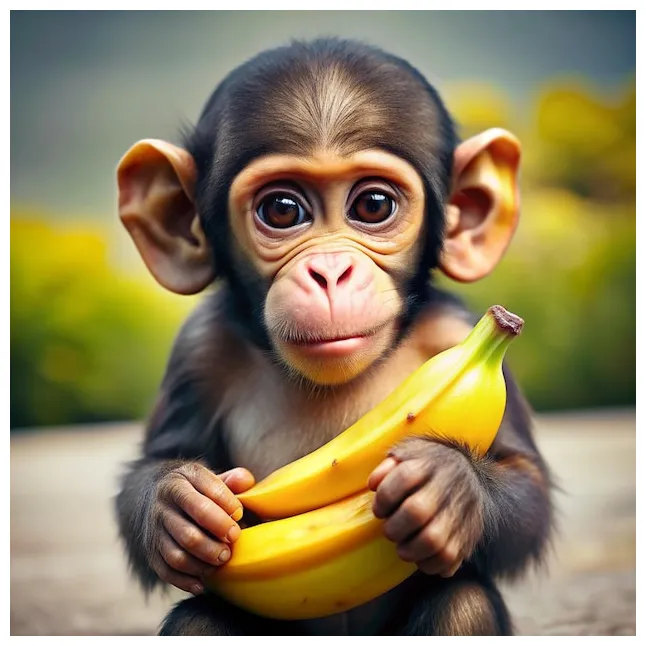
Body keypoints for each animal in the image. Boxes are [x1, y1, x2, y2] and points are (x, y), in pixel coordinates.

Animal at [114, 38, 554, 636]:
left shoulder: (459, 333)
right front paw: (175, 503)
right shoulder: (198, 351)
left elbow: (525, 485)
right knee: (199, 621)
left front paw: (448, 486)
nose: (329, 271)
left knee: (464, 605)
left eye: (373, 205)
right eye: (282, 210)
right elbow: (159, 459)